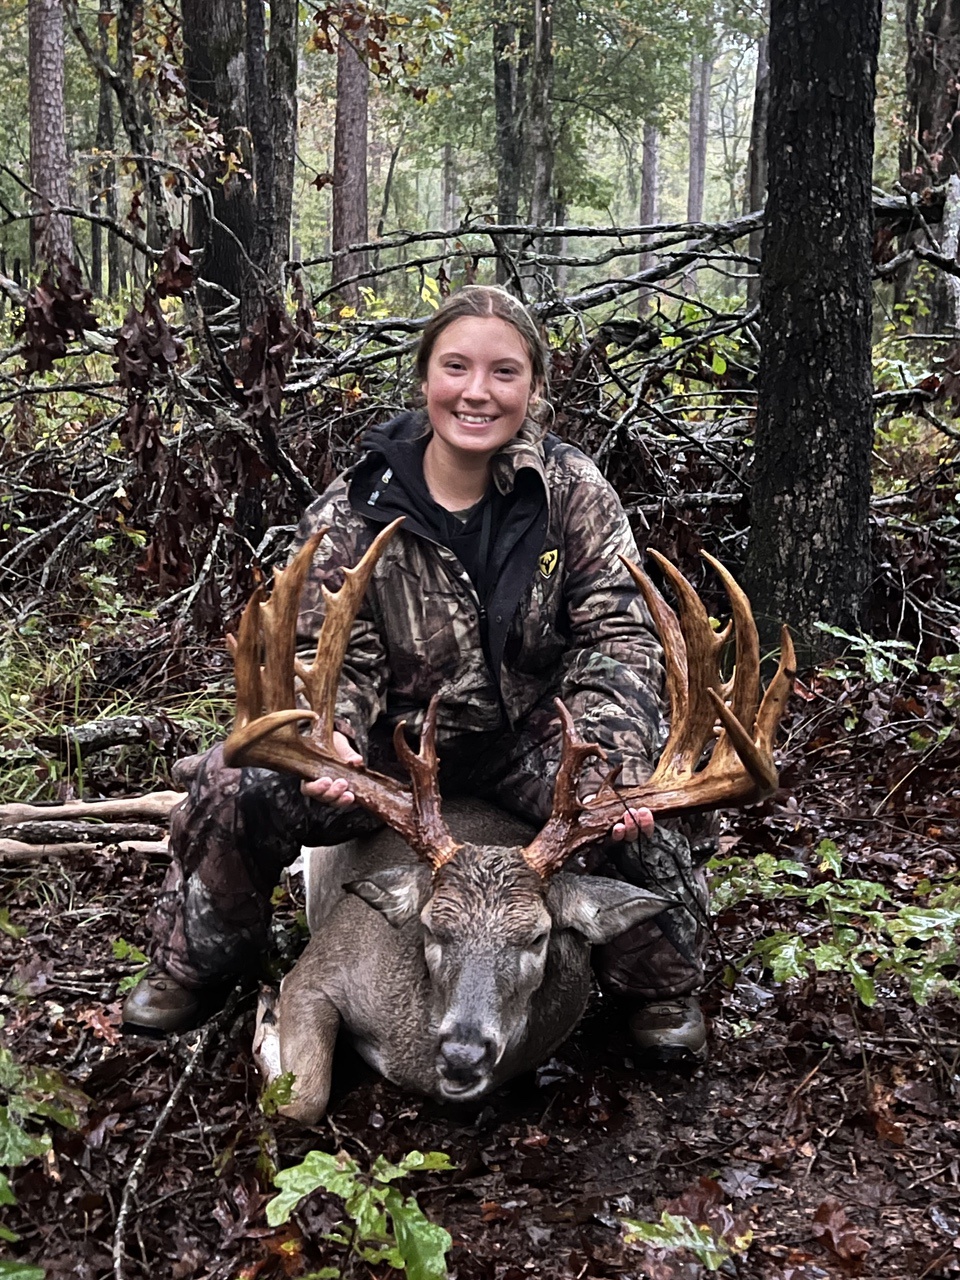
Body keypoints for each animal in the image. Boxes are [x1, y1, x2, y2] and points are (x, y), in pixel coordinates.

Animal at [222, 519, 795, 1123]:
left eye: (537, 937)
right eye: (432, 926)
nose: (463, 1052)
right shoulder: (320, 966)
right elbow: (302, 1097)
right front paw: (264, 1015)